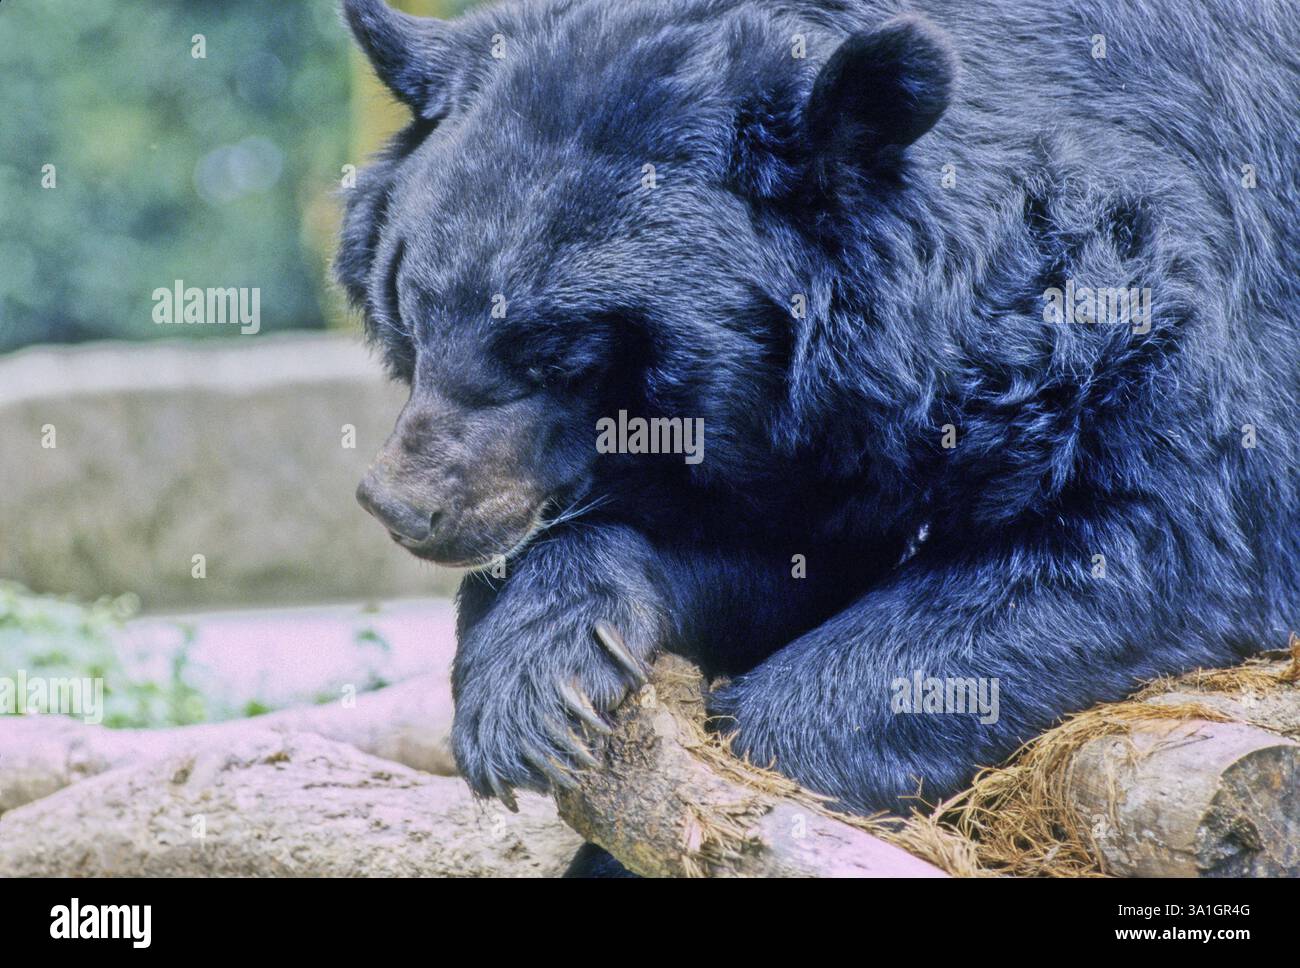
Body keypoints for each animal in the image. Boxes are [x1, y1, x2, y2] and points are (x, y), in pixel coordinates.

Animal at [337, 0, 1299, 876]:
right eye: (410, 308)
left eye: (558, 358)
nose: (404, 507)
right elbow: (776, 556)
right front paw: (531, 682)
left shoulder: (1143, 301)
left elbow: (1166, 534)